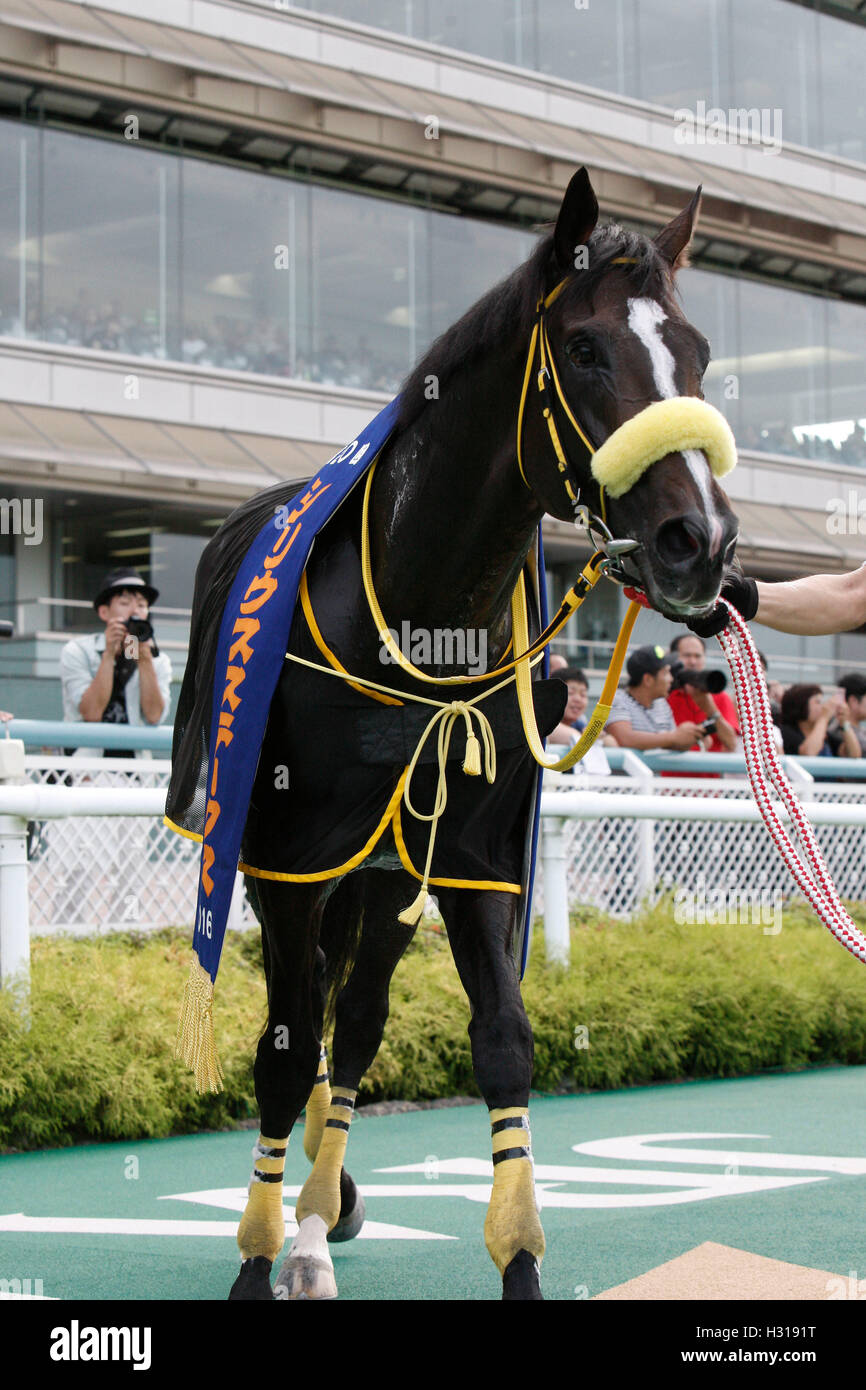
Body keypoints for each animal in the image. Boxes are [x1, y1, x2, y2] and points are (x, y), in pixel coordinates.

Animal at [168, 167, 738, 1300]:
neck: (417, 611)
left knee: (356, 1018)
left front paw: (516, 1257)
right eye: (584, 349)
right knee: (310, 1016)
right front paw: (252, 1260)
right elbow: (280, 1050)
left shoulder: (471, 852)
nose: (699, 540)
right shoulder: (285, 856)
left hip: (391, 870)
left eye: (695, 353)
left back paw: (317, 1220)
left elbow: (501, 1042)